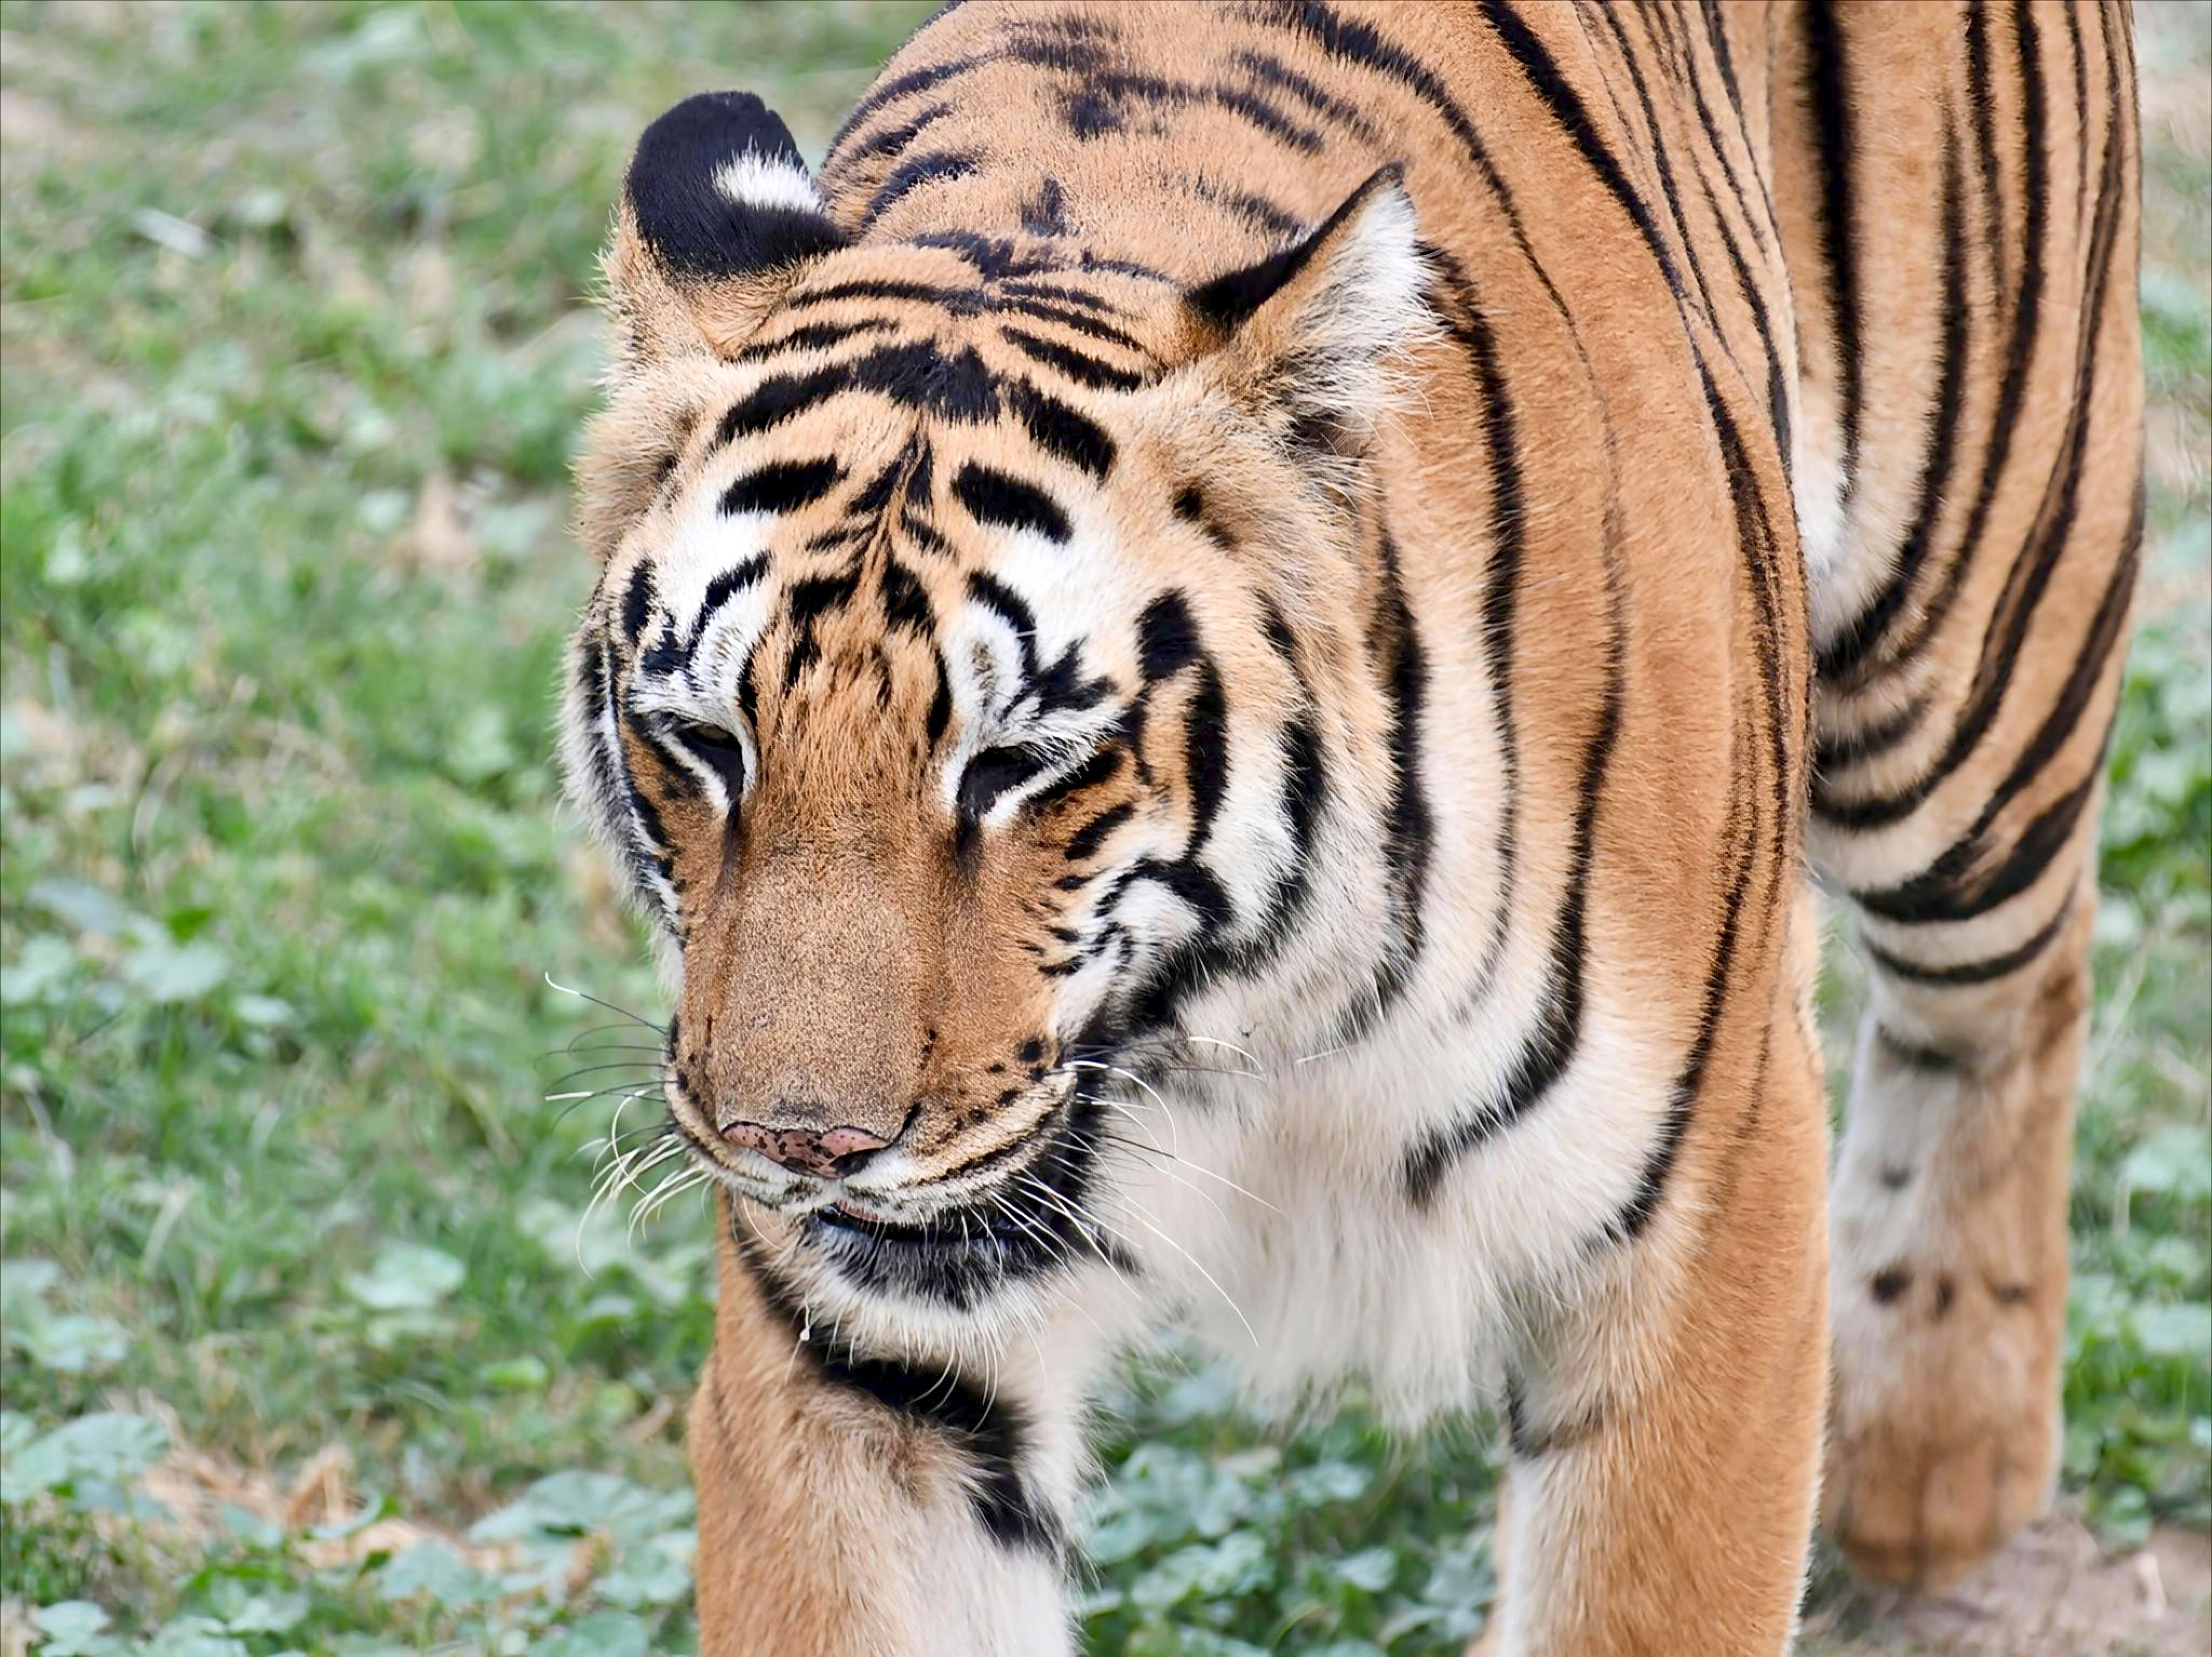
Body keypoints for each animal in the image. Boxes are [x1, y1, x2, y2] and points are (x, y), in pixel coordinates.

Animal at [558, 2, 2142, 1651]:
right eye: (705, 743)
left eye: (1018, 763)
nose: (800, 1143)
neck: (1237, 1020)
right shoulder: (871, 1367)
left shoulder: (1709, 1201)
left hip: (1971, 630)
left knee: (2014, 978)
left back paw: (1933, 1459)